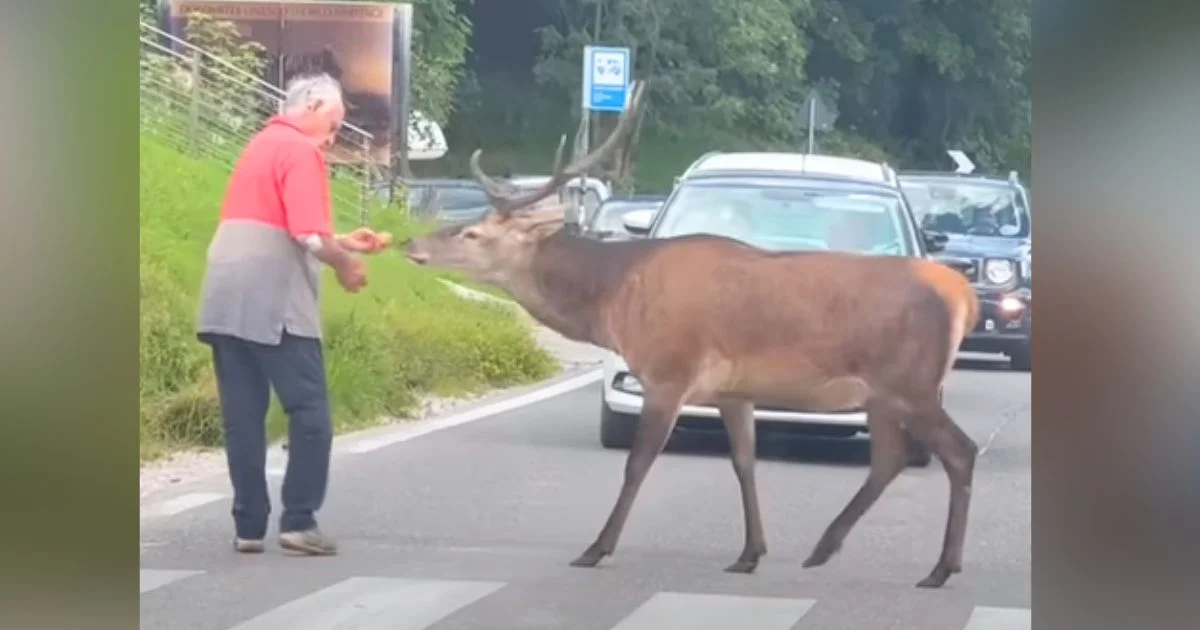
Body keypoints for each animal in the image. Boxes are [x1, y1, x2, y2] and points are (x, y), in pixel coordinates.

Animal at [401, 81, 981, 589]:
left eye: (473, 233)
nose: (412, 245)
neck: (614, 301)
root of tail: (962, 295)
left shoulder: (668, 373)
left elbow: (638, 464)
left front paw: (596, 548)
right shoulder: (732, 391)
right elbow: (744, 463)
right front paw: (750, 553)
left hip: (911, 382)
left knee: (961, 451)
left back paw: (940, 569)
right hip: (883, 393)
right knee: (889, 460)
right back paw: (824, 548)